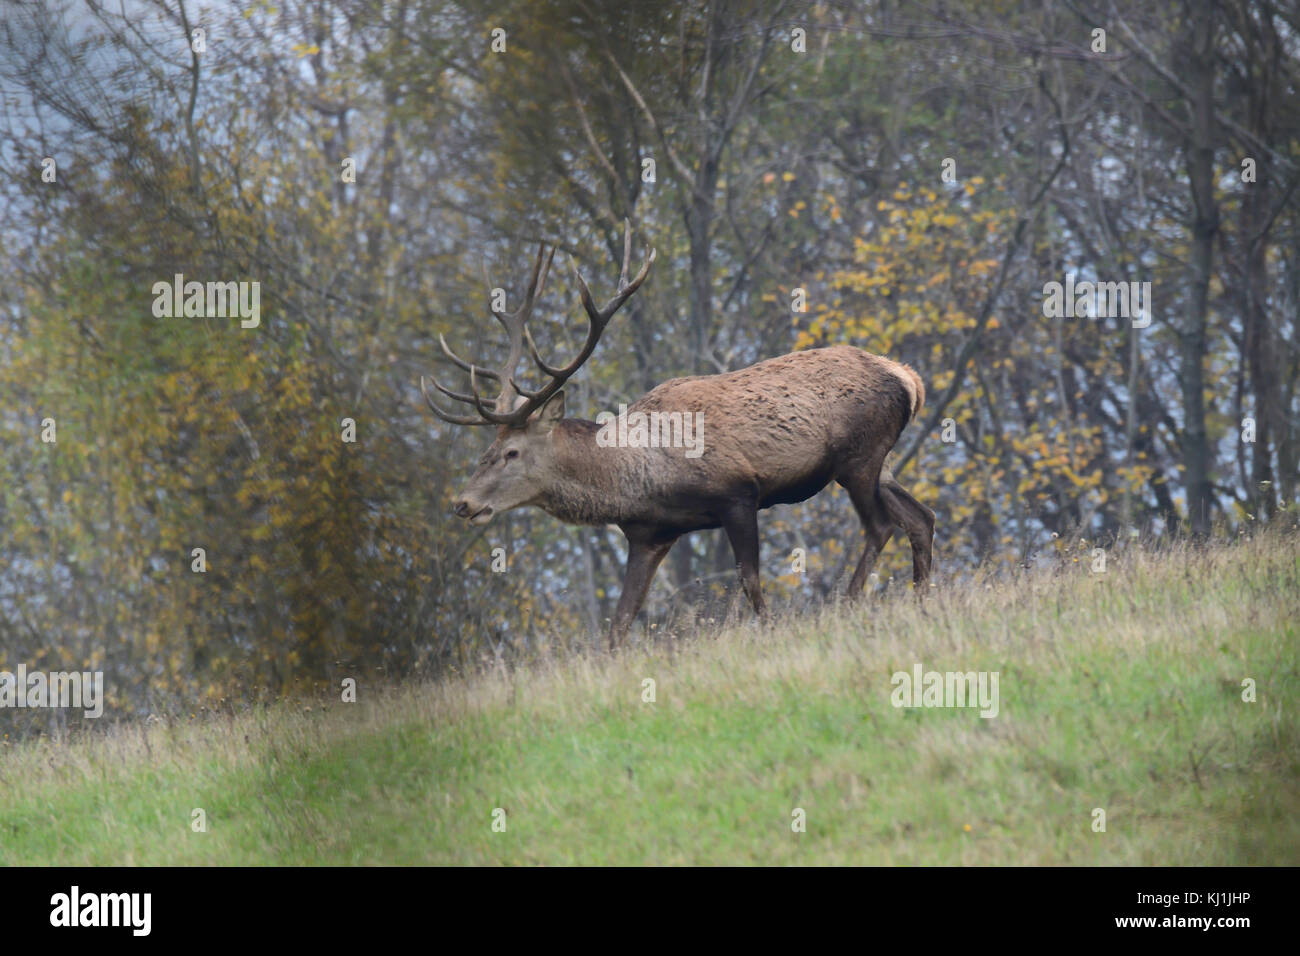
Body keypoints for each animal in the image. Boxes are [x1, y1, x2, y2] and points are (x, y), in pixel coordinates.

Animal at [422, 225, 935, 649]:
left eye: (511, 452)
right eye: (486, 450)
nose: (463, 503)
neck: (643, 478)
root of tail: (908, 378)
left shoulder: (738, 493)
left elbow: (750, 580)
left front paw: (771, 631)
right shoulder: (650, 534)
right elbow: (619, 621)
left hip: (858, 456)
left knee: (881, 526)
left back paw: (847, 603)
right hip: (880, 463)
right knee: (921, 518)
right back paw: (923, 602)